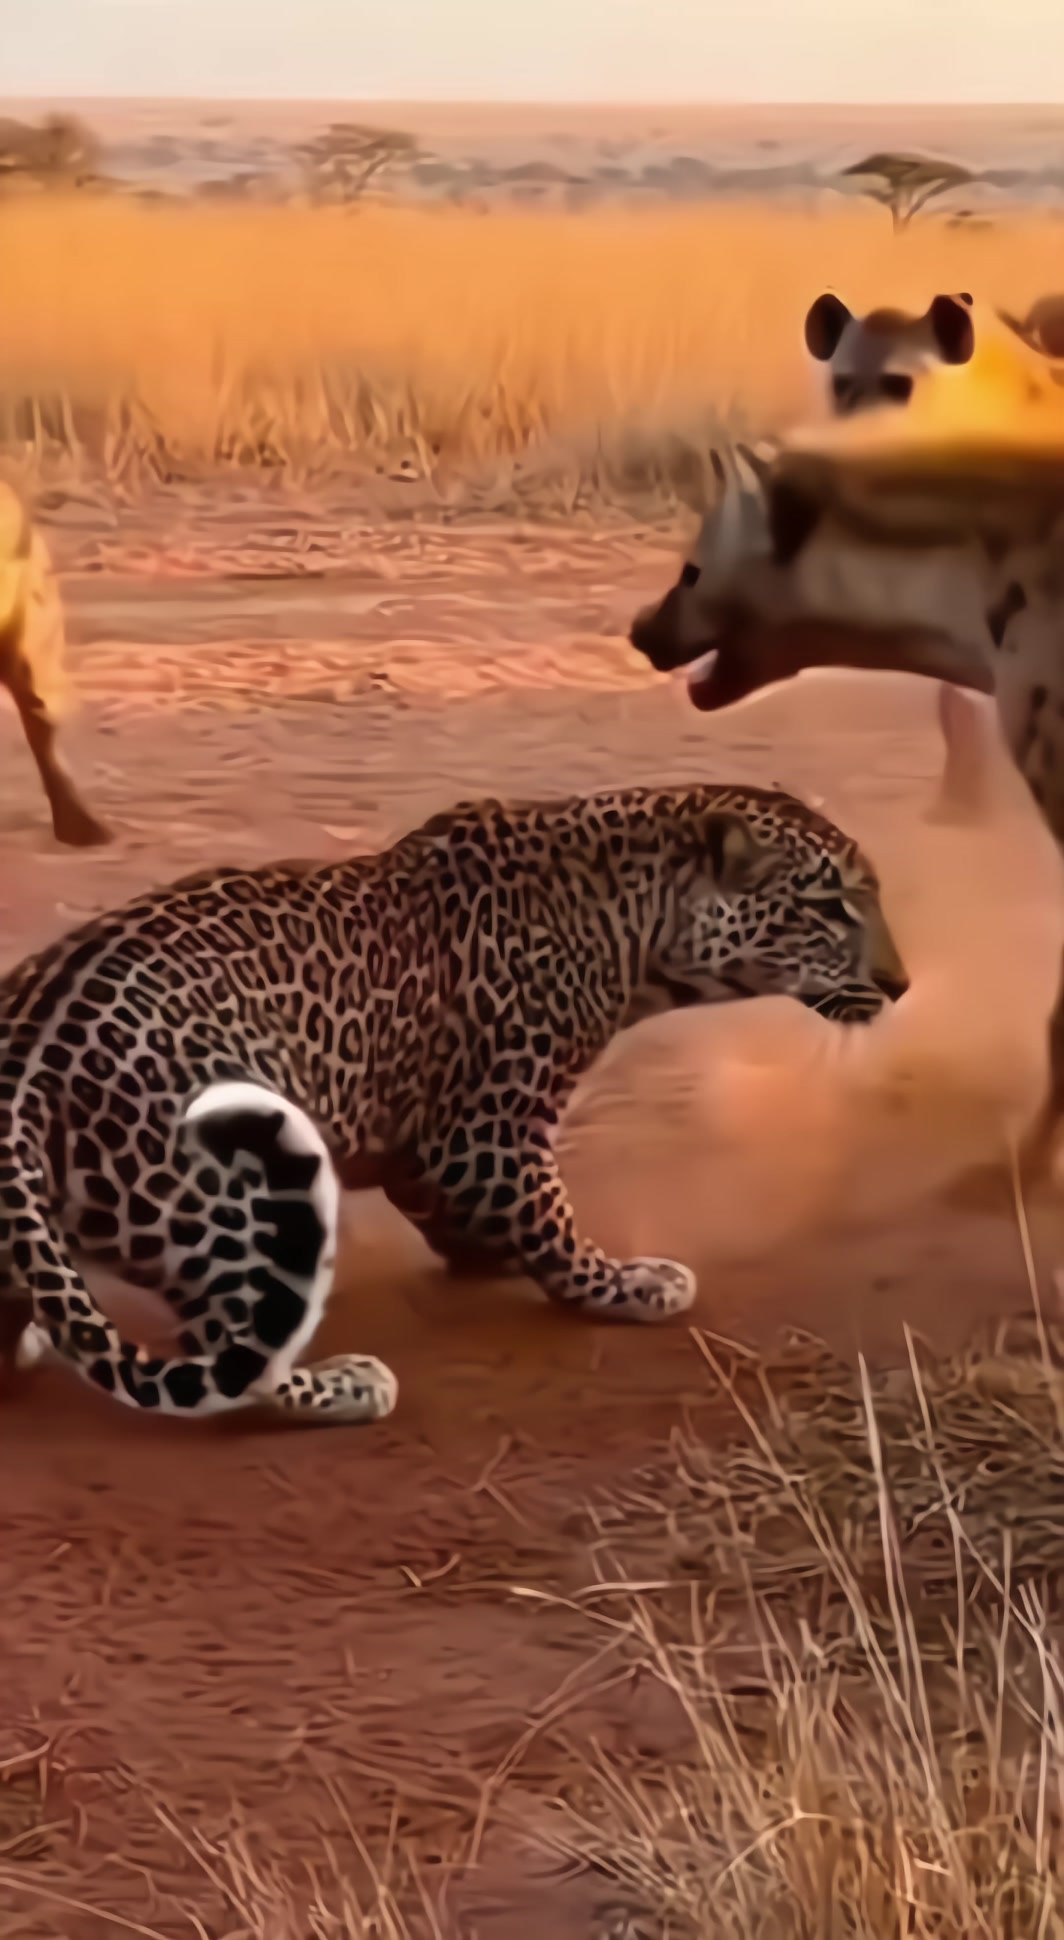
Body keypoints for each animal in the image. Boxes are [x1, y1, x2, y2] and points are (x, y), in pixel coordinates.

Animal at [0, 783, 904, 1424]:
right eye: (829, 908)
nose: (899, 985)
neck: (629, 920)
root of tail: (21, 1075)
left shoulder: (432, 1144)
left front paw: (486, 1255)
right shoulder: (487, 1132)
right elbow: (550, 1222)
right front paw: (625, 1284)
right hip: (242, 1189)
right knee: (233, 1360)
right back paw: (346, 1387)